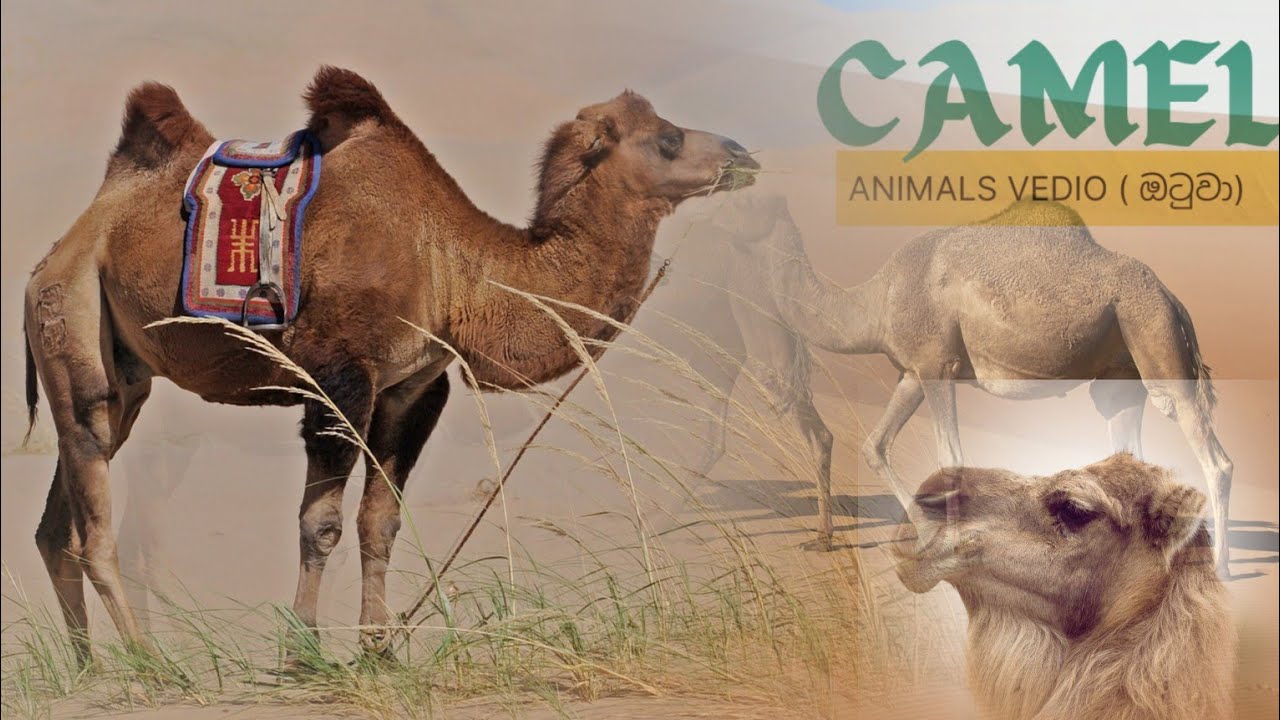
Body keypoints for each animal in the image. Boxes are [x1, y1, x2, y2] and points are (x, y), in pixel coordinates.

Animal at [22, 66, 759, 663]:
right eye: (667, 138)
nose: (744, 153)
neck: (454, 265)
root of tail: (64, 246)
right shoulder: (340, 378)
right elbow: (320, 524)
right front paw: (303, 654)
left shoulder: (414, 388)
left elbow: (381, 524)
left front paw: (380, 650)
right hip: (70, 314)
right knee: (91, 514)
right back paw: (149, 668)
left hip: (121, 370)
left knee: (58, 524)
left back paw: (91, 671)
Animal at [693, 193, 1232, 575]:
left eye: (742, 200)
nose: (702, 212)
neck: (875, 300)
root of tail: (1173, 298)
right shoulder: (910, 372)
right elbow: (874, 447)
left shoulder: (938, 365)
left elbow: (949, 457)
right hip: (1122, 373)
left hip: (1156, 338)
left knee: (1215, 459)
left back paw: (1222, 566)